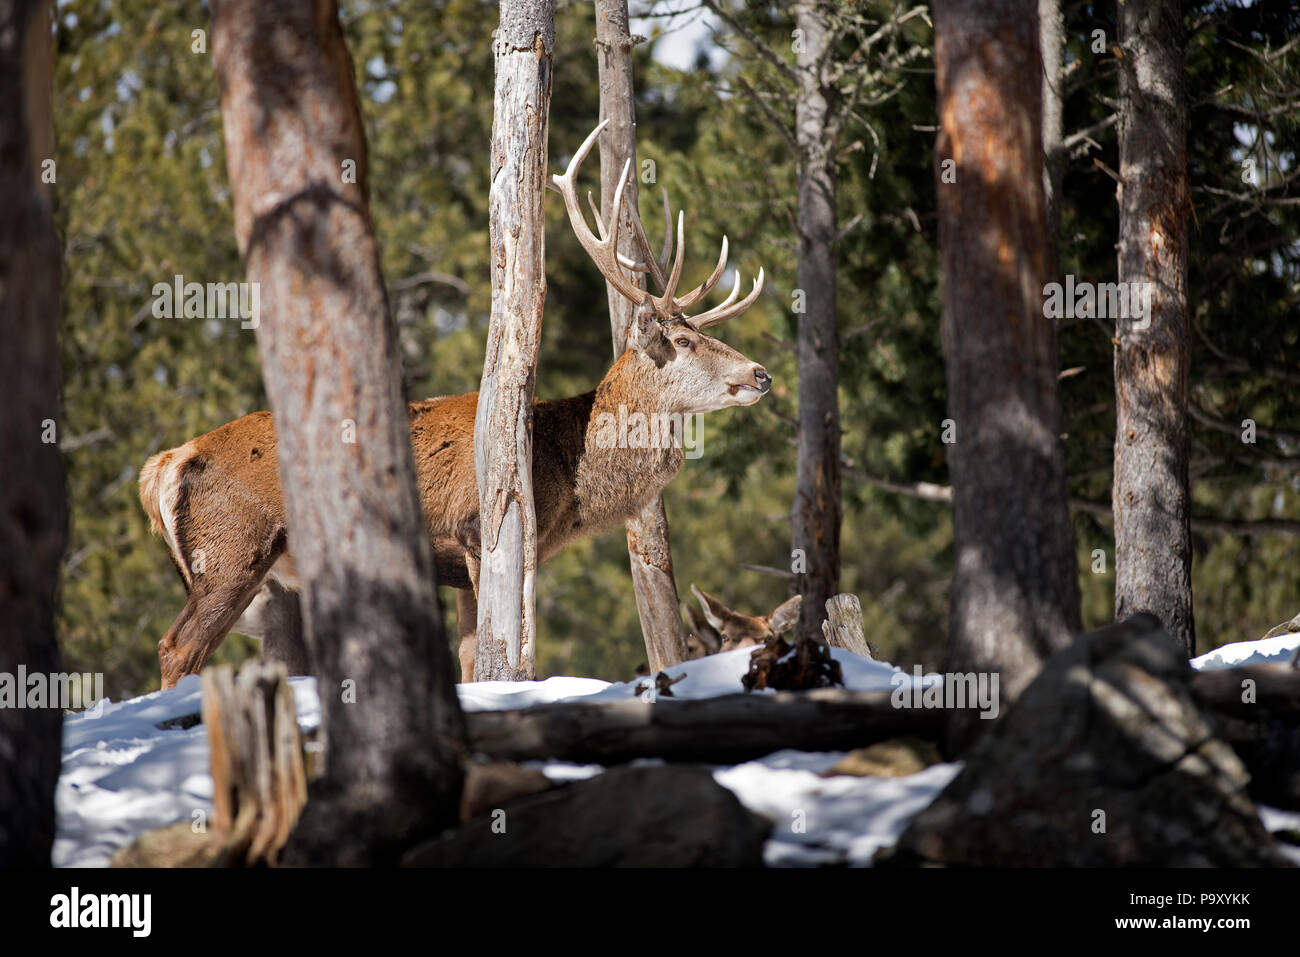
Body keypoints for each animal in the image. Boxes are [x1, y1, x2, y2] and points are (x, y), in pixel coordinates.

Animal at [139, 121, 771, 689]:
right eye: (684, 340)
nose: (760, 374)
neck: (563, 471)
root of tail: (164, 465)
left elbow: (470, 659)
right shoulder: (475, 528)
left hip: (269, 582)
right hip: (234, 547)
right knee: (177, 647)